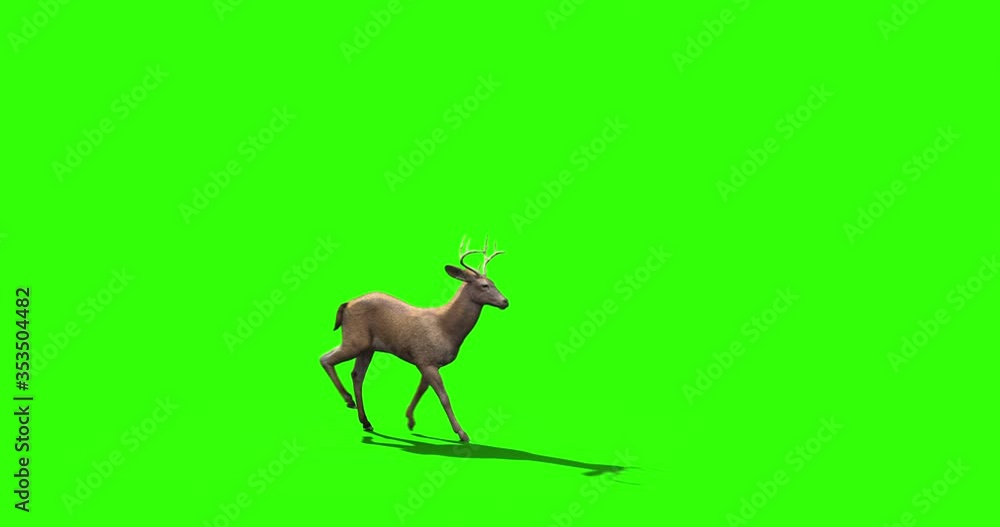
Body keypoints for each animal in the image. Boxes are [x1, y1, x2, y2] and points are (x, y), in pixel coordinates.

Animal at [319, 236, 508, 442]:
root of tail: (346, 304)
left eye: (494, 282)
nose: (505, 301)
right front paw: (462, 433)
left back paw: (366, 422)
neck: (447, 328)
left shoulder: (427, 361)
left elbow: (421, 390)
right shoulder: (426, 359)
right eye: (484, 285)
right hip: (355, 339)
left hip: (368, 347)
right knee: (325, 358)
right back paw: (349, 401)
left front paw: (409, 419)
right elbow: (444, 397)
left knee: (356, 375)